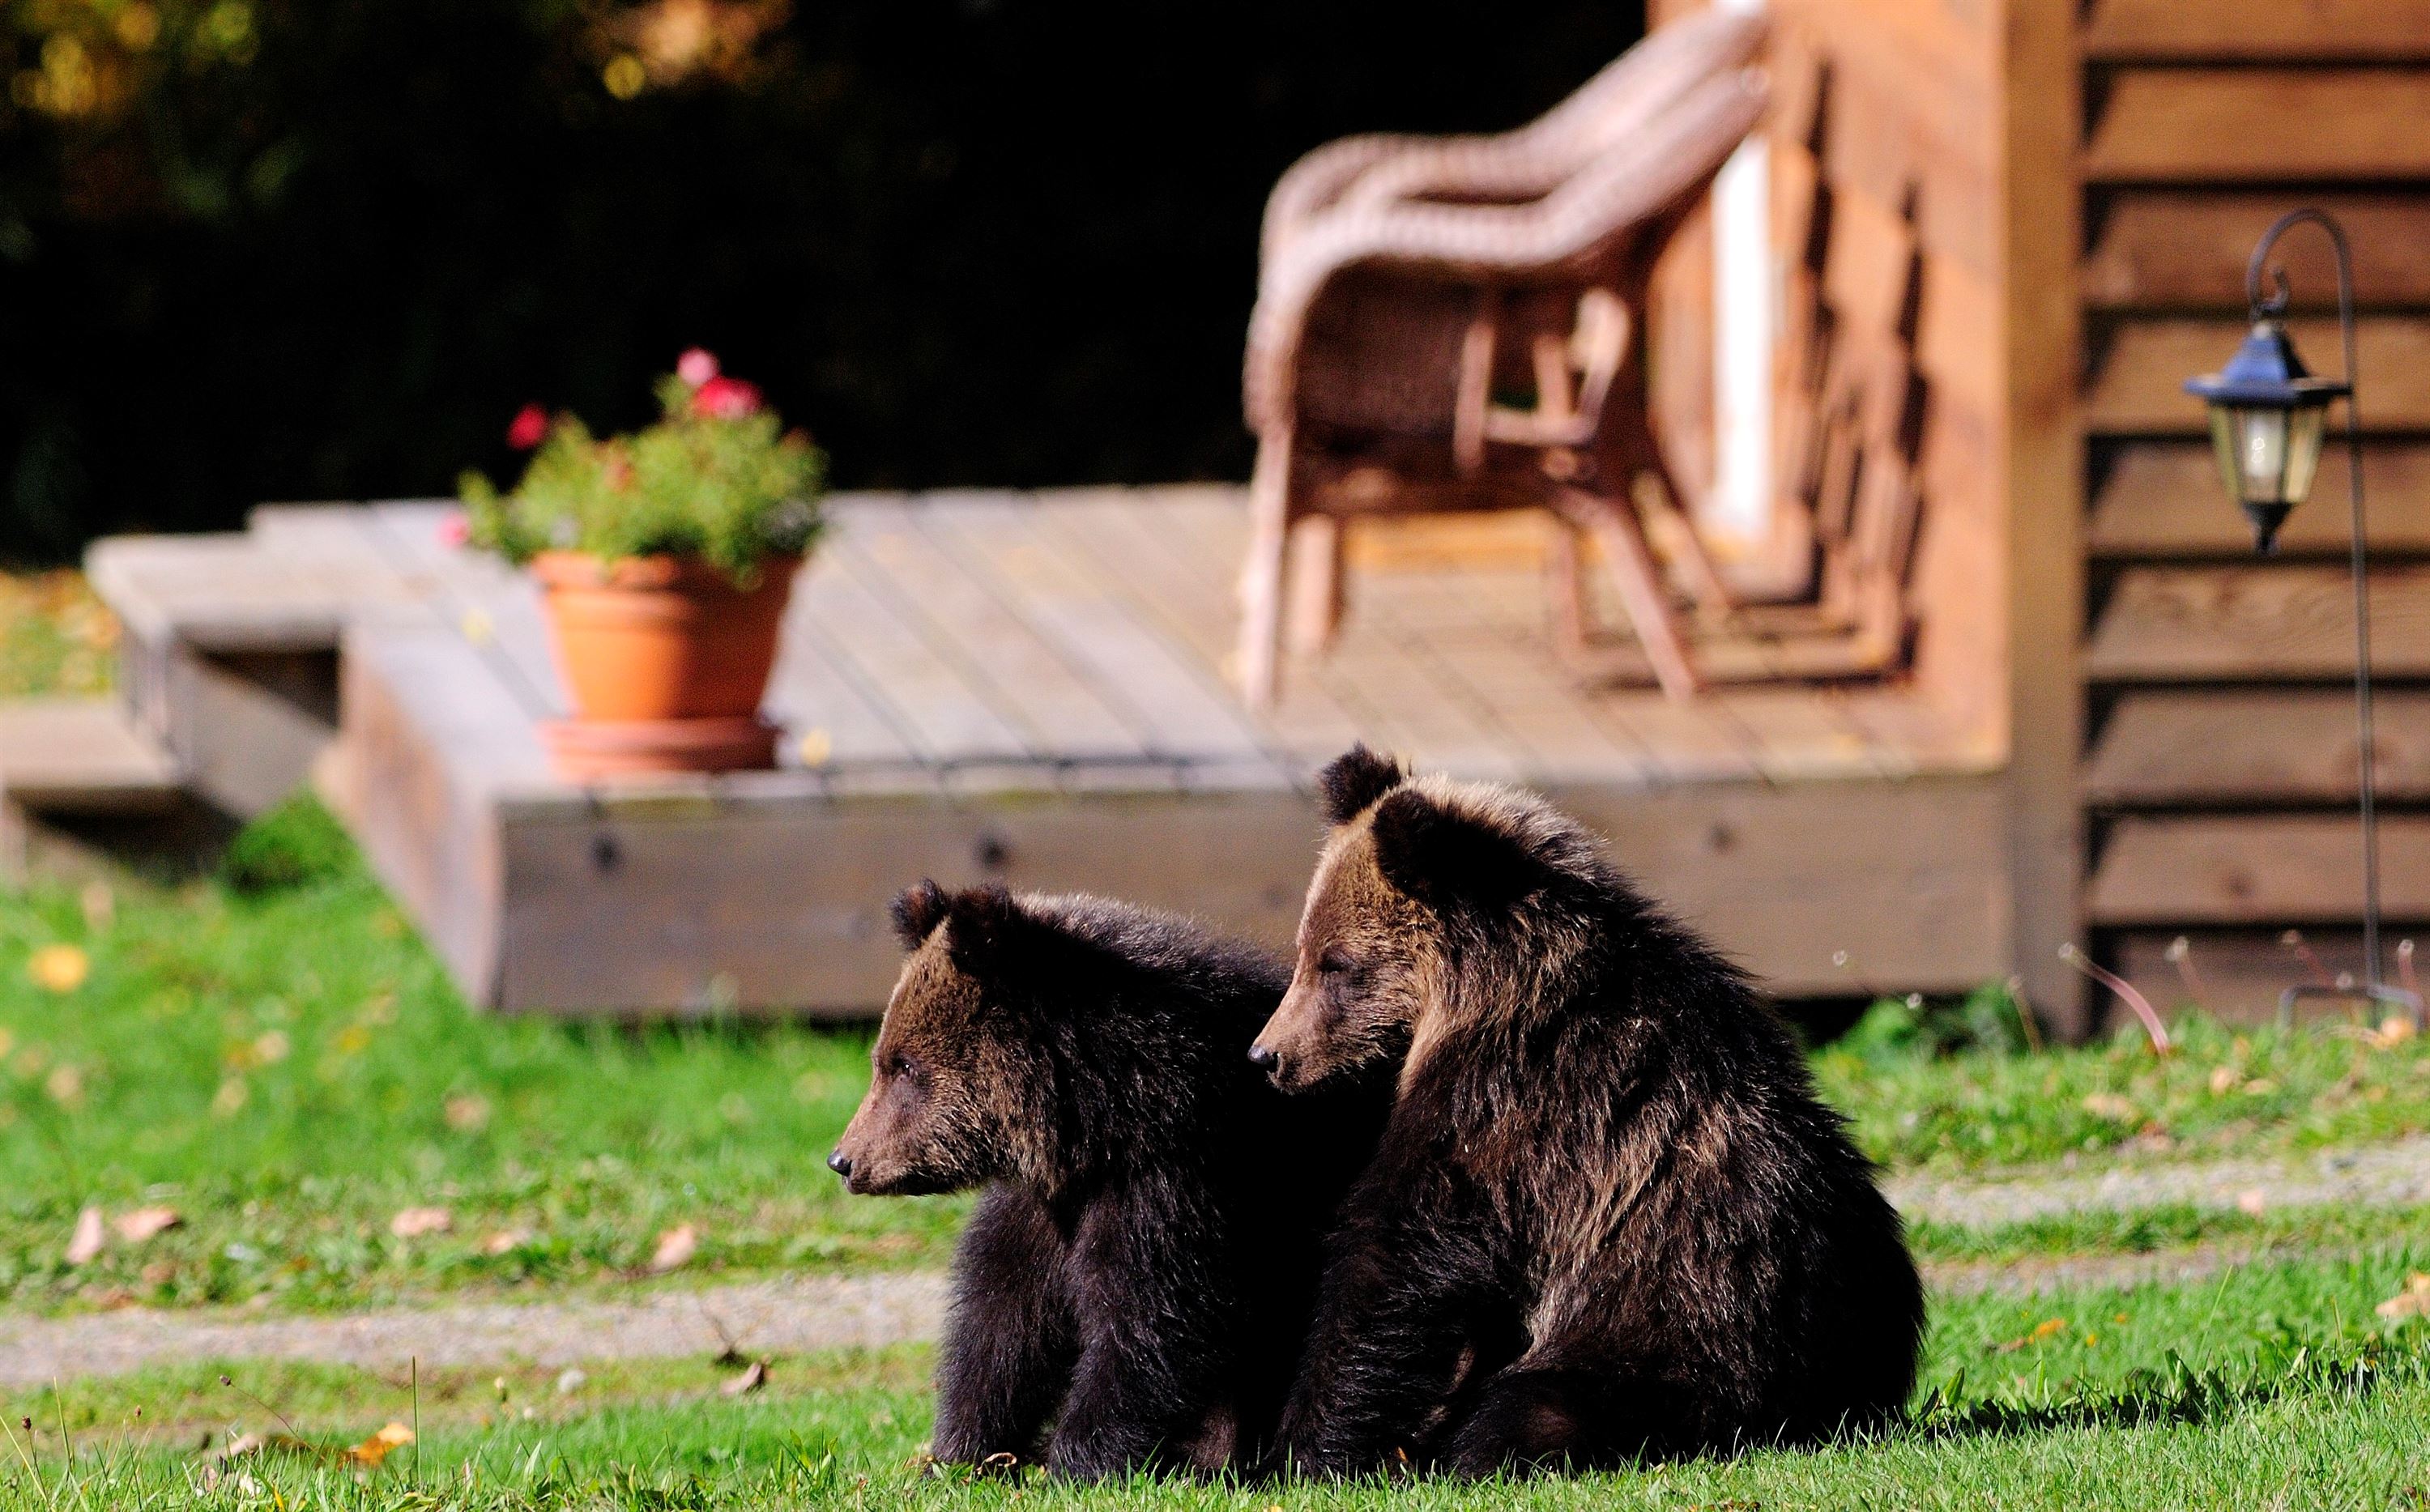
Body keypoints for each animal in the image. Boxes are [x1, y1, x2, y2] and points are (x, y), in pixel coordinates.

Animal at [828, 880, 1389, 1480]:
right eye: (884, 1057)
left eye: (904, 1065)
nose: (844, 1159)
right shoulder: (1048, 1206)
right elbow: (1004, 1314)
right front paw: (965, 1450)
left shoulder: (1178, 1180)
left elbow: (1153, 1317)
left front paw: (1079, 1457)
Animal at [1246, 745, 1925, 1478]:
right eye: (1303, 949)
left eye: (1336, 963)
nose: (1267, 1053)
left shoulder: (1510, 1107)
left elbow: (1397, 1254)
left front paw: (1306, 1444)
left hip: (1674, 1326)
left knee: (1540, 1404)